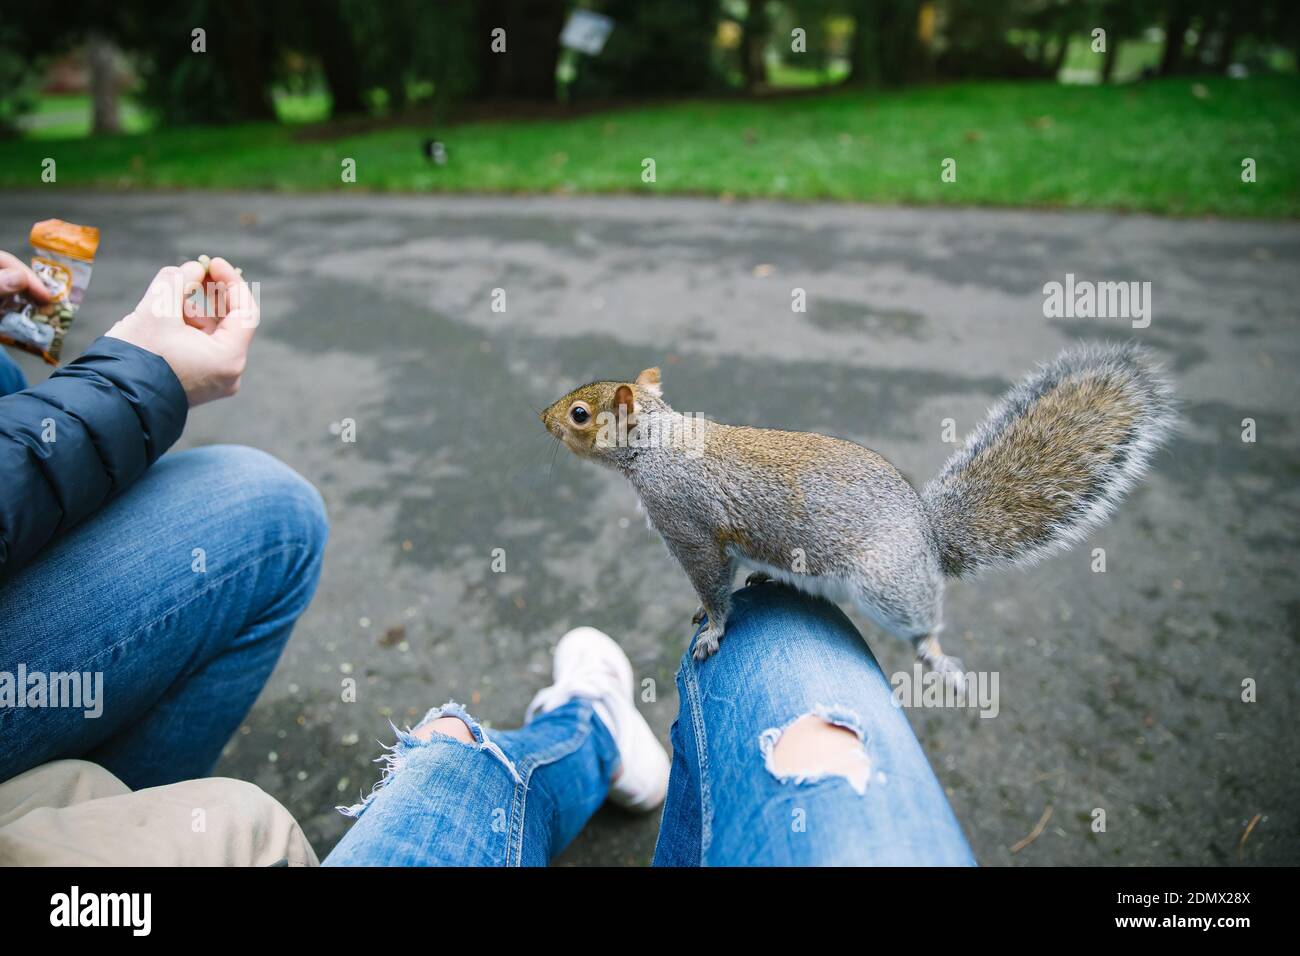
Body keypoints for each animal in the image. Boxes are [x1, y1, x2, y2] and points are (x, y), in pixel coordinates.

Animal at [541, 343, 1176, 680]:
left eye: (579, 414)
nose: (542, 418)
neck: (659, 444)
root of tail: (928, 537)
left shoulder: (687, 525)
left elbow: (712, 583)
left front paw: (712, 628)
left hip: (886, 583)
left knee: (923, 625)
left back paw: (935, 656)